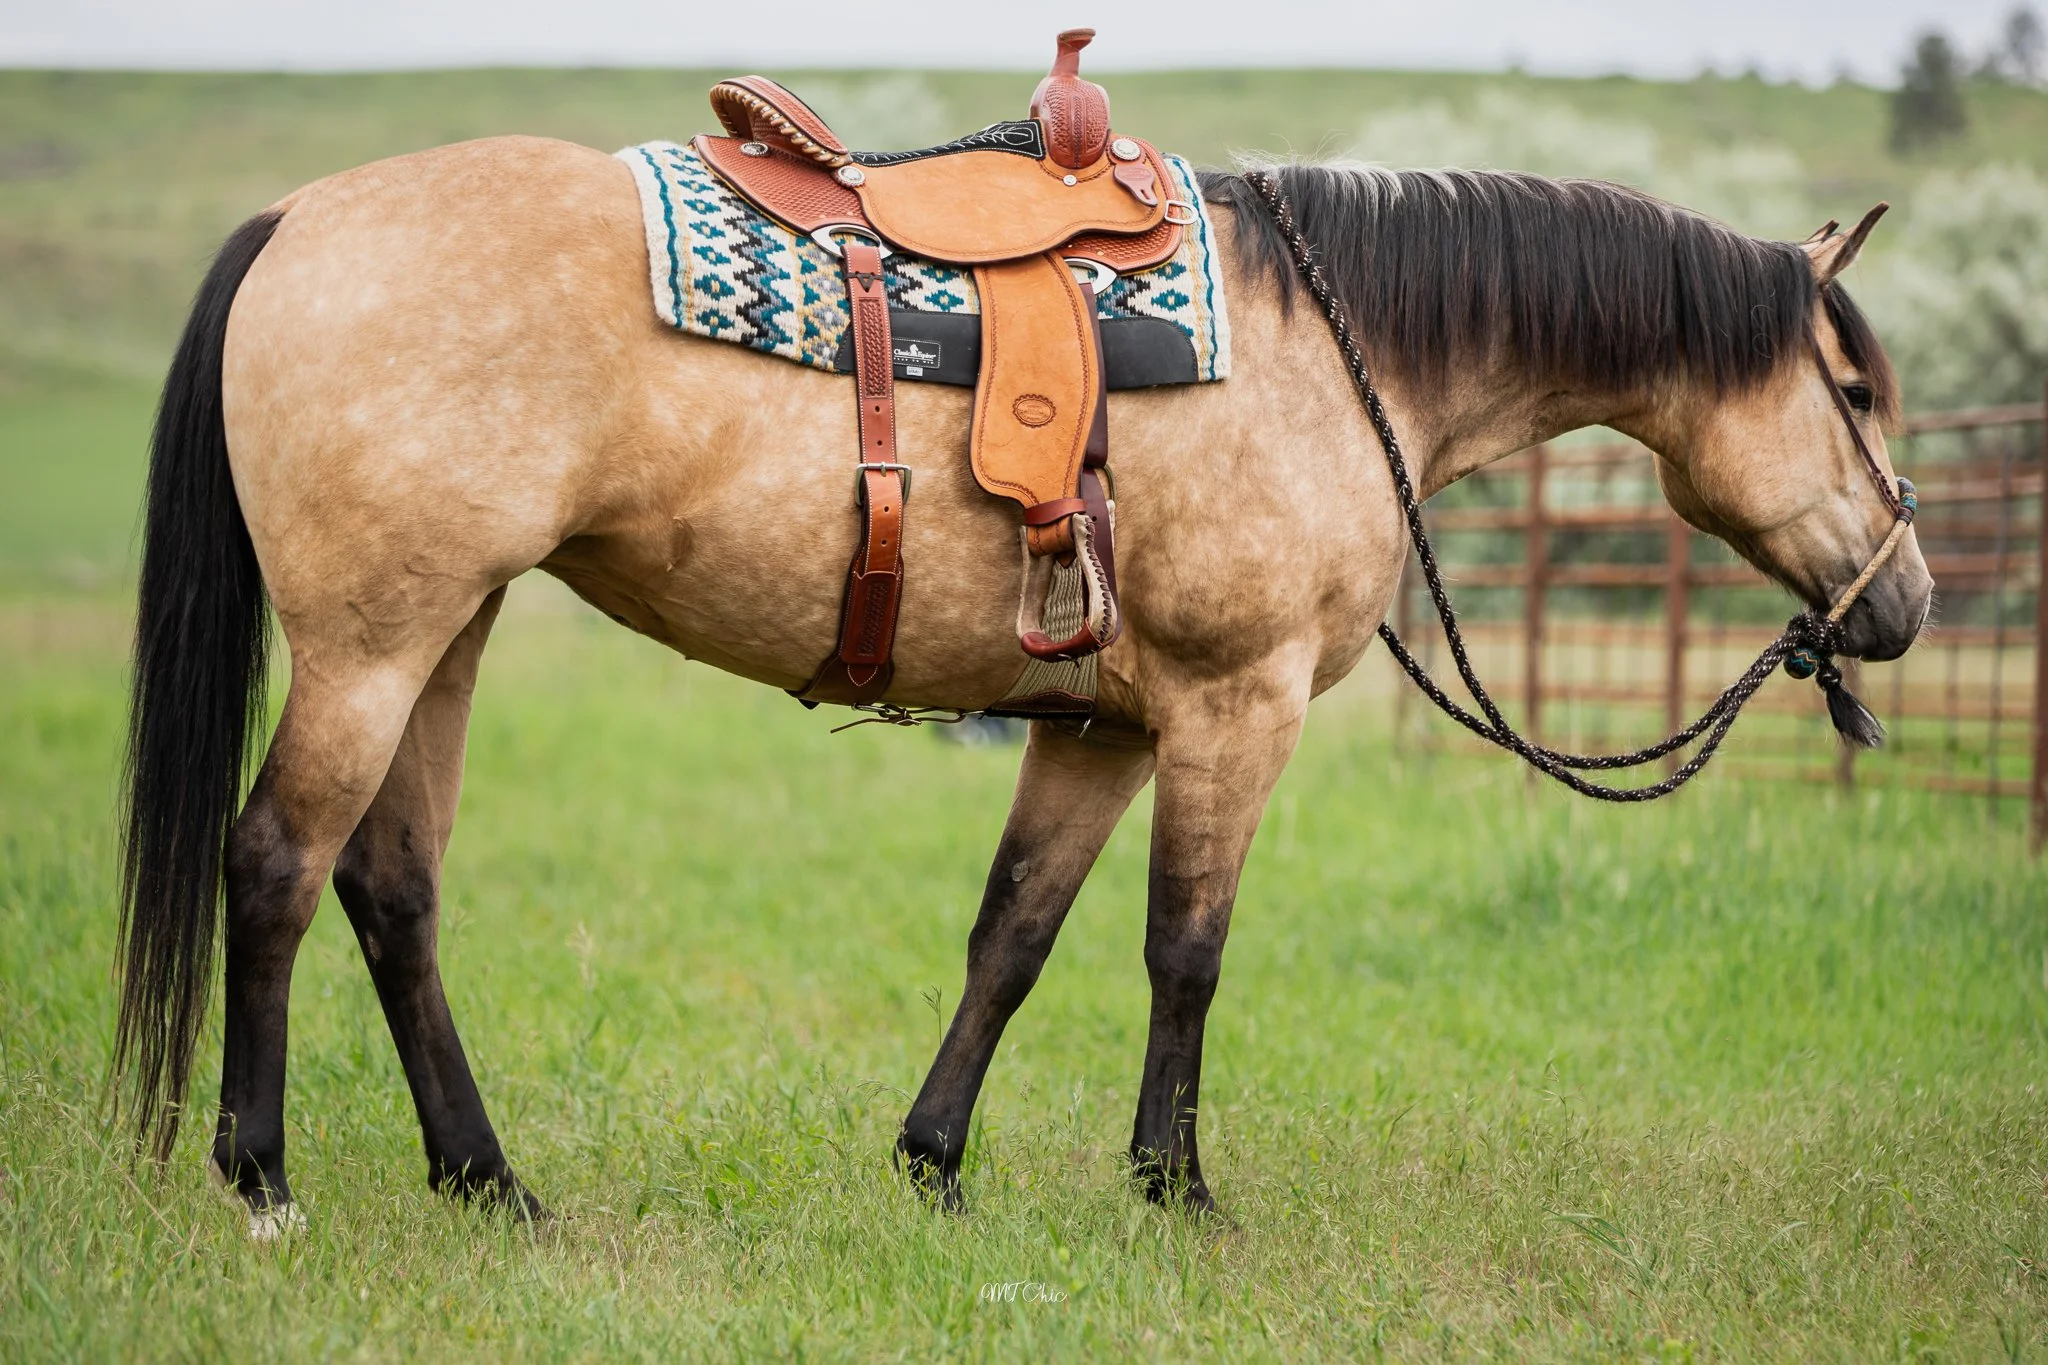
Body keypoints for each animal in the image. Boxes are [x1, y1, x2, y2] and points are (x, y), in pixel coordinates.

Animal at [115, 137, 1932, 1233]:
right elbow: (1186, 952)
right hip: (373, 642)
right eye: (1851, 390)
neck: (1333, 353)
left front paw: (931, 1165)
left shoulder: (1102, 728)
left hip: (449, 631)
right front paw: (1175, 1189)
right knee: (275, 867)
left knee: (392, 891)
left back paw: (487, 1181)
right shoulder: (1235, 709)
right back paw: (262, 1176)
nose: (1902, 603)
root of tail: (298, 219)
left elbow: (1016, 938)